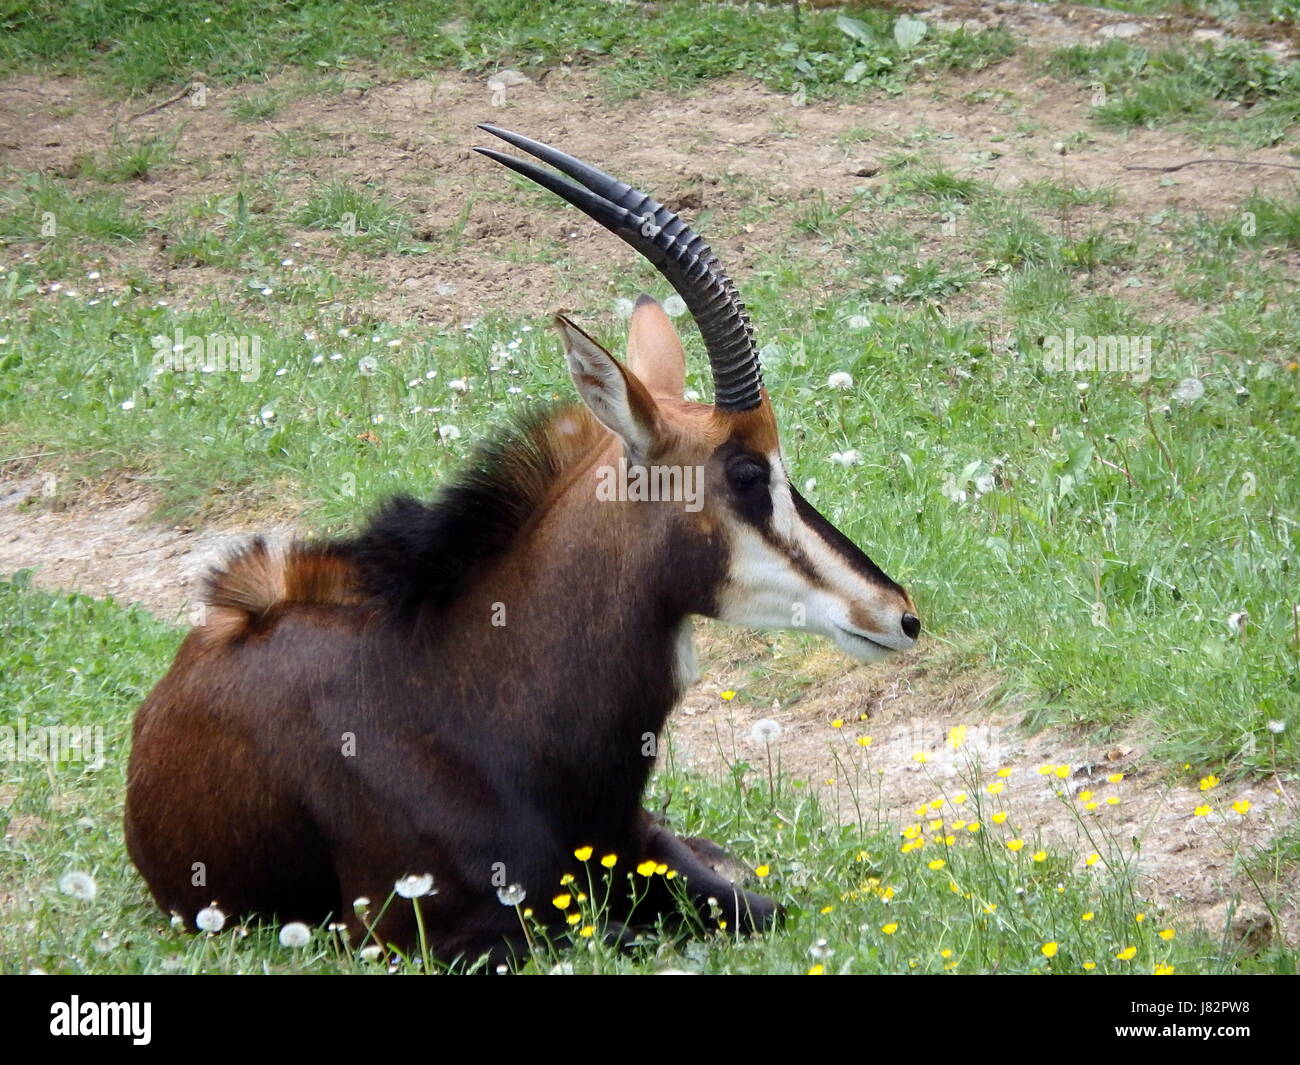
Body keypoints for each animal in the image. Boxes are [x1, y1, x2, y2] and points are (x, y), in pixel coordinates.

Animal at [124, 125, 920, 966]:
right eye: (745, 471)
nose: (898, 612)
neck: (470, 704)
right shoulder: (422, 935)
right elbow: (613, 933)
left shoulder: (649, 852)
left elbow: (766, 908)